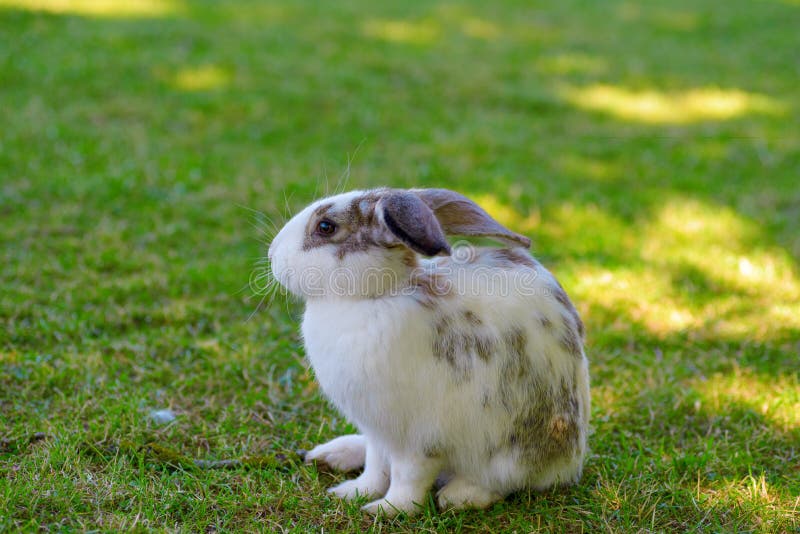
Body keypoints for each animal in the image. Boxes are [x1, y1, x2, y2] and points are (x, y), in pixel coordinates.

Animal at [267, 188, 590, 516]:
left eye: (326, 227)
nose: (271, 255)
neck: (376, 296)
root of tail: (570, 461)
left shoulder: (418, 439)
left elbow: (408, 478)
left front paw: (385, 509)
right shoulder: (378, 430)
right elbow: (375, 467)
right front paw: (352, 493)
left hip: (509, 452)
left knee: (503, 480)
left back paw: (460, 495)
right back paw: (331, 454)